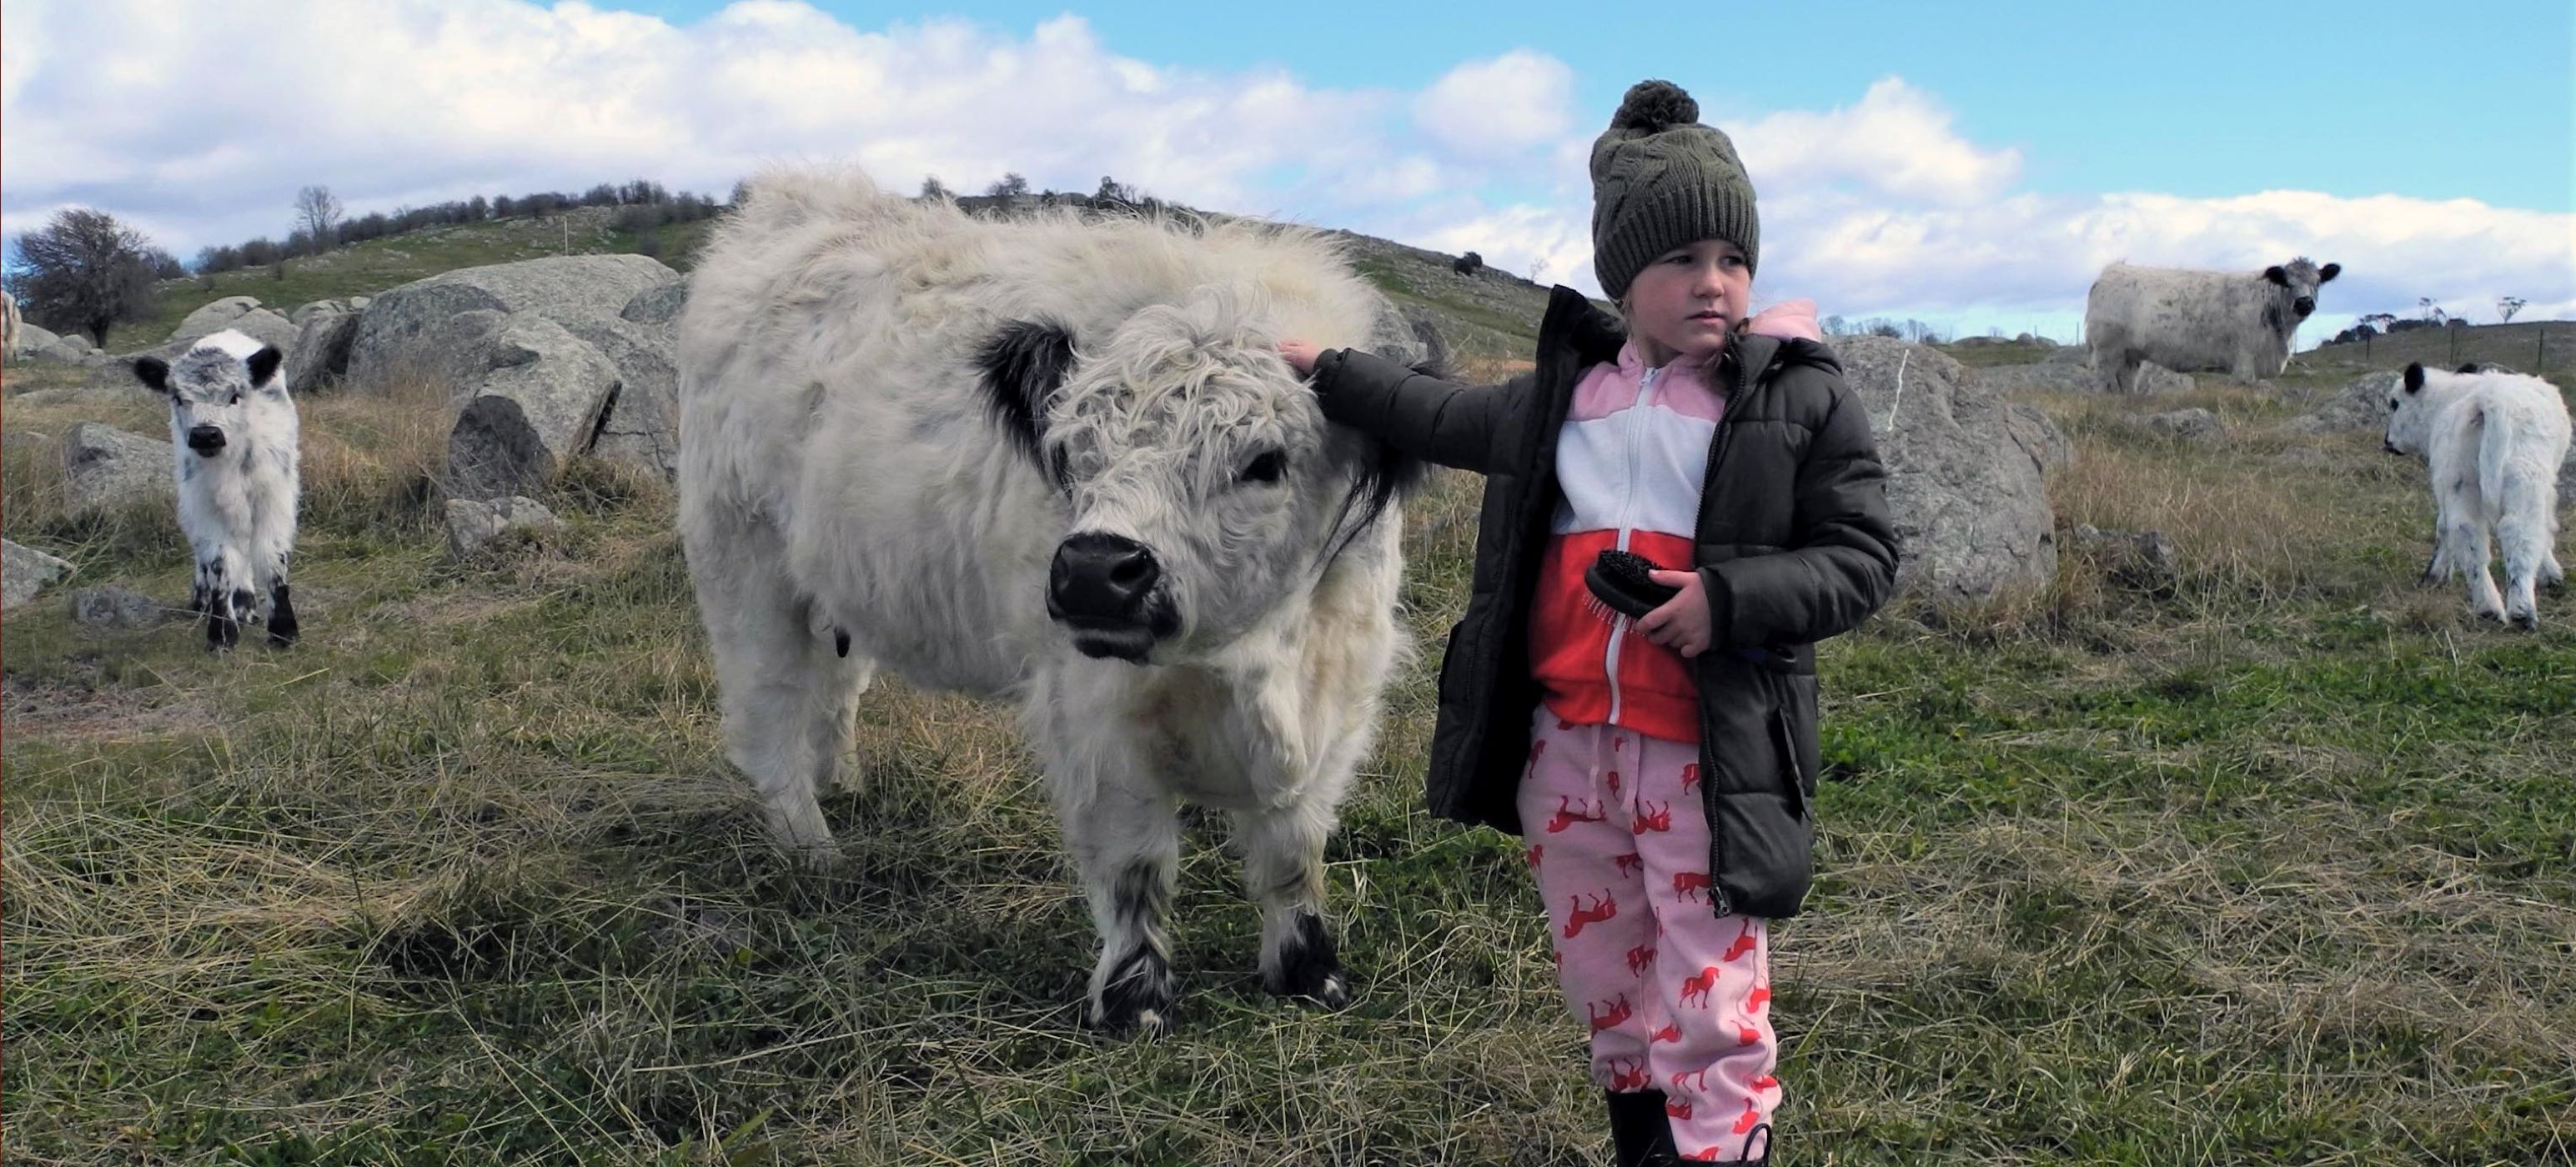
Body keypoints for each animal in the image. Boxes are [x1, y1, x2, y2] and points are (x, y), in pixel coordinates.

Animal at [131, 328, 301, 650]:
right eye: (178, 397)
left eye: (235, 396)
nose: (205, 434)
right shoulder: (203, 503)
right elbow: (219, 562)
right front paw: (221, 633)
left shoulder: (275, 496)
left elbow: (271, 556)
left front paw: (284, 630)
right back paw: (220, 600)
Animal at [675, 166, 1438, 1035]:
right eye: (1071, 451)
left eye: (1265, 461)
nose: (1094, 570)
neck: (1251, 666)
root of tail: (794, 197)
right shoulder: (1094, 714)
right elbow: (1135, 864)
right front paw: (1137, 1003)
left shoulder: (1338, 696)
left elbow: (1293, 850)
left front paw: (1311, 971)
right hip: (743, 567)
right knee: (767, 715)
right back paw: (814, 850)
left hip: (838, 579)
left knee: (836, 688)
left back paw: (847, 783)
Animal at [2084, 258, 2340, 393]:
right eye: (2287, 283)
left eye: (2318, 282)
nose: (2304, 302)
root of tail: (2109, 272)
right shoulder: (2244, 360)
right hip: (2106, 351)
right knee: (2101, 384)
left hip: (2130, 355)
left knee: (2127, 384)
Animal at [2383, 361, 2570, 628]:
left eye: (2395, 404)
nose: (2388, 442)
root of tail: (2488, 400)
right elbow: (2547, 527)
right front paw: (2552, 573)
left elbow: (2442, 526)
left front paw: (2435, 575)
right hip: (2523, 481)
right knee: (2520, 531)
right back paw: (2522, 611)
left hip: (2459, 478)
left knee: (2466, 531)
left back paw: (2488, 607)